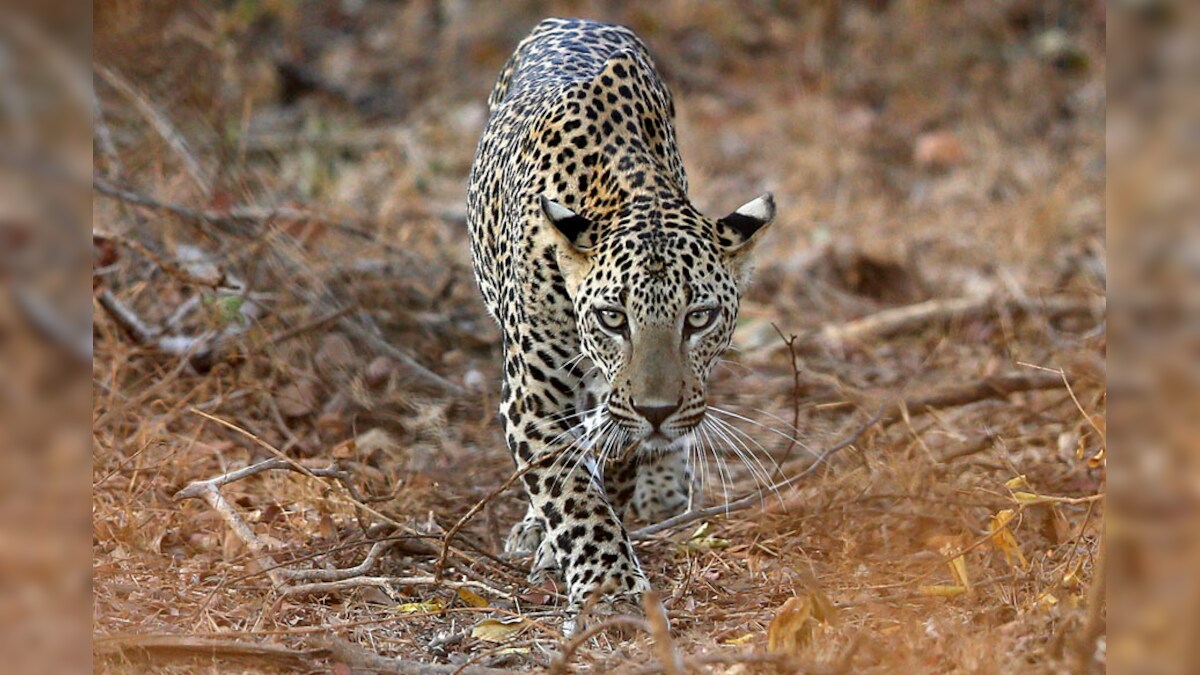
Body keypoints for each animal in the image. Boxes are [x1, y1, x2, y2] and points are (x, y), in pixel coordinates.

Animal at [466, 17, 775, 632]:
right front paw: (607, 587)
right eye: (613, 318)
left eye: (698, 318)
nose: (656, 411)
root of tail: (576, 18)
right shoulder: (533, 398)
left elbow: (614, 456)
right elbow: (573, 496)